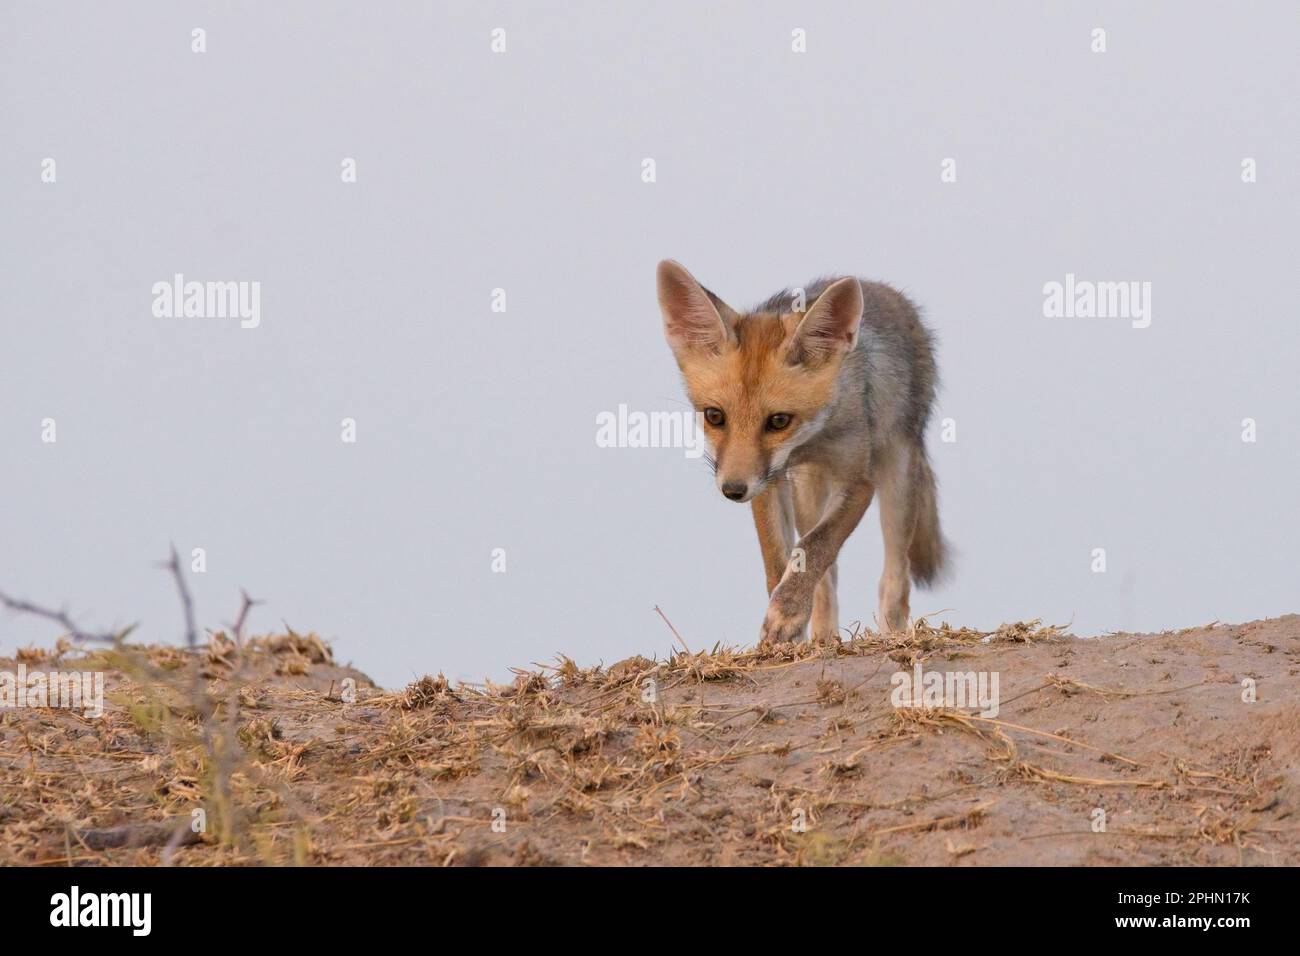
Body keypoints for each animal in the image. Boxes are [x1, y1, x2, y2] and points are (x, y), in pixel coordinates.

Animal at [656, 260, 948, 645]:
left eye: (779, 420)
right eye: (715, 416)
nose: (733, 490)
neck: (810, 441)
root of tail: (885, 290)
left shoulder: (858, 483)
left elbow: (816, 545)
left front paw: (787, 612)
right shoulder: (769, 482)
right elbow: (781, 561)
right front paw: (786, 627)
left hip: (897, 477)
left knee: (895, 579)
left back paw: (889, 634)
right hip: (808, 493)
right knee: (827, 582)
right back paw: (823, 638)